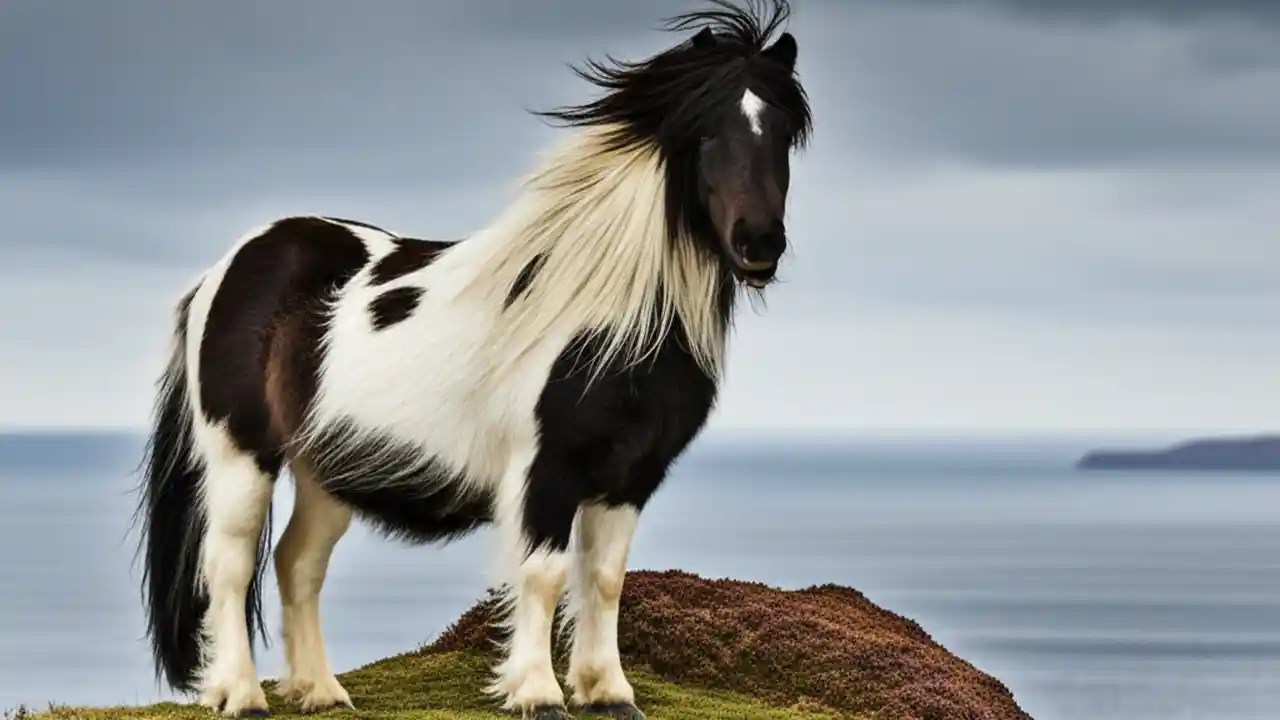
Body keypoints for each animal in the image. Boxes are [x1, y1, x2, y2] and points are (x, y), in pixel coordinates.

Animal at [137, 2, 811, 718]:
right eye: (705, 132)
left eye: (784, 134)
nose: (759, 243)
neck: (616, 320)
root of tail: (230, 266)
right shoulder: (546, 471)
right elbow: (543, 576)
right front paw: (538, 693)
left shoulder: (632, 476)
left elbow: (604, 581)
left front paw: (608, 691)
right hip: (241, 454)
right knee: (230, 566)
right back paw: (241, 694)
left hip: (326, 468)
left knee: (298, 563)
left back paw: (321, 691)